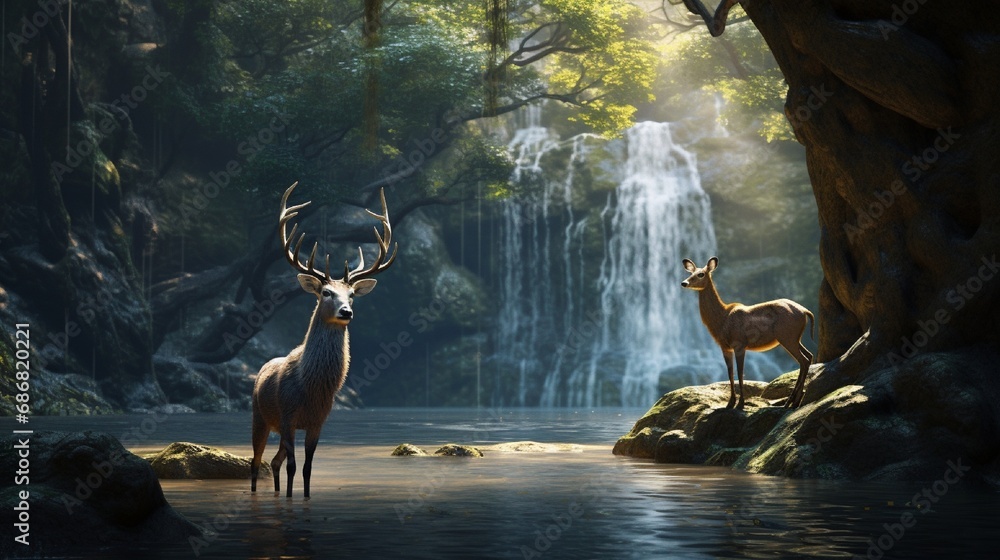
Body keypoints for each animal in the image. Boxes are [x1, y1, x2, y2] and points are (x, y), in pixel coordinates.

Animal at [251, 182, 397, 498]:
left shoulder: (318, 422)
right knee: (256, 462)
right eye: (326, 293)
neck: (310, 387)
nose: (346, 312)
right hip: (259, 415)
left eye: (352, 294)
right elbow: (294, 467)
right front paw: (292, 498)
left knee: (274, 461)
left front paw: (304, 496)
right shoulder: (288, 416)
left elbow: (306, 468)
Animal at [681, 257, 815, 410]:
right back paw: (794, 402)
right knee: (809, 356)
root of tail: (805, 311)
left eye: (701, 274)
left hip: (787, 336)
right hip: (794, 338)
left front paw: (740, 404)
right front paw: (730, 403)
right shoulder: (725, 347)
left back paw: (790, 403)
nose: (684, 283)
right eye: (691, 273)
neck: (722, 318)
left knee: (803, 360)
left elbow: (740, 372)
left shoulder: (739, 344)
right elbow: (730, 372)